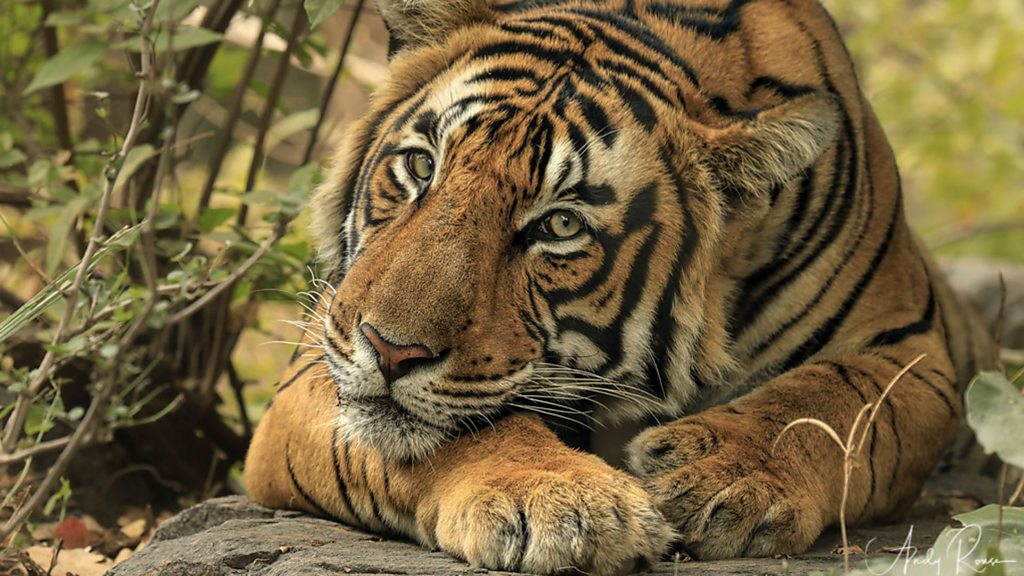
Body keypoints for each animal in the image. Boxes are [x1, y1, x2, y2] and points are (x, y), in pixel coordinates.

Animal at [243, 0, 997, 574]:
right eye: (421, 167)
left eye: (560, 224)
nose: (389, 350)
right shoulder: (321, 349)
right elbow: (463, 432)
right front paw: (562, 501)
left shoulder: (913, 352)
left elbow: (829, 404)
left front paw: (723, 476)